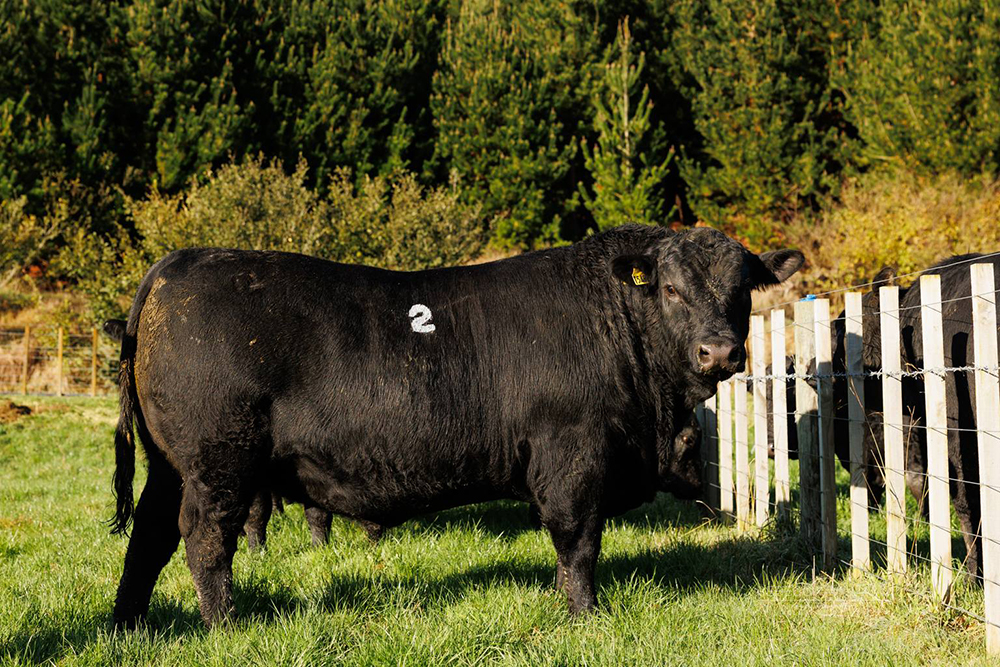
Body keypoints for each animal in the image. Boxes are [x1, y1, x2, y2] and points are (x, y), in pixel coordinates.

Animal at [107, 224, 804, 628]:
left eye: (742, 290)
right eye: (671, 289)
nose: (720, 352)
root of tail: (177, 263)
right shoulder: (573, 457)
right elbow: (578, 543)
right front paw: (586, 616)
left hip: (171, 467)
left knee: (147, 538)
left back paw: (126, 624)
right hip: (217, 463)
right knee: (204, 540)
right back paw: (225, 625)